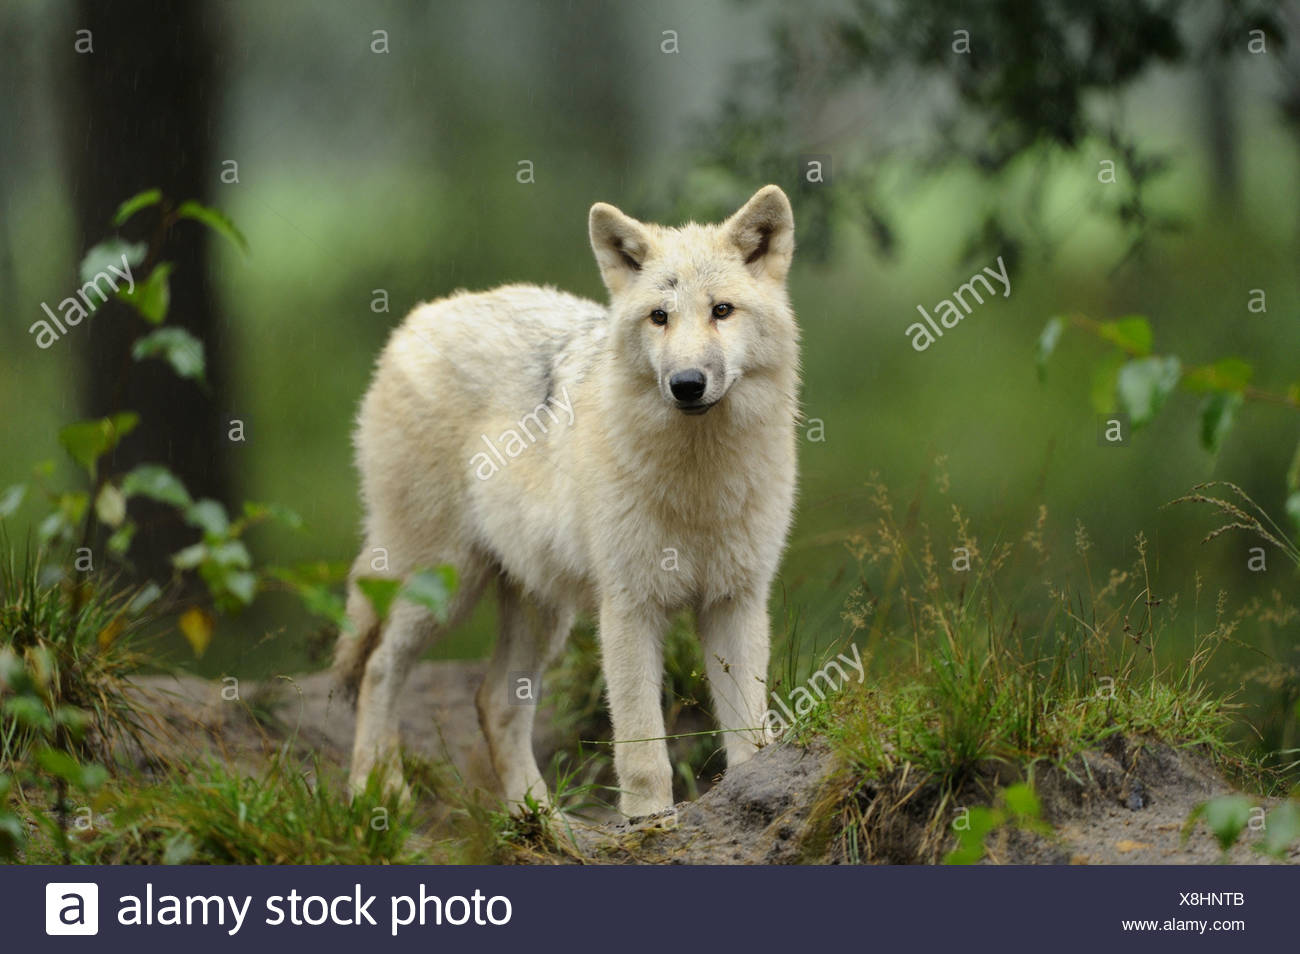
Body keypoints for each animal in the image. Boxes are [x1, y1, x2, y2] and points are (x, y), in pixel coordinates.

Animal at [335, 185, 800, 821]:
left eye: (721, 311)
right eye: (660, 317)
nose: (686, 384)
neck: (699, 480)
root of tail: (418, 318)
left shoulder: (736, 601)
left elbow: (750, 732)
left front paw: (755, 790)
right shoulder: (629, 608)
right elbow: (641, 745)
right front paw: (647, 821)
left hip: (540, 610)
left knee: (493, 703)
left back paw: (544, 821)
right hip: (445, 584)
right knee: (378, 669)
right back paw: (374, 796)